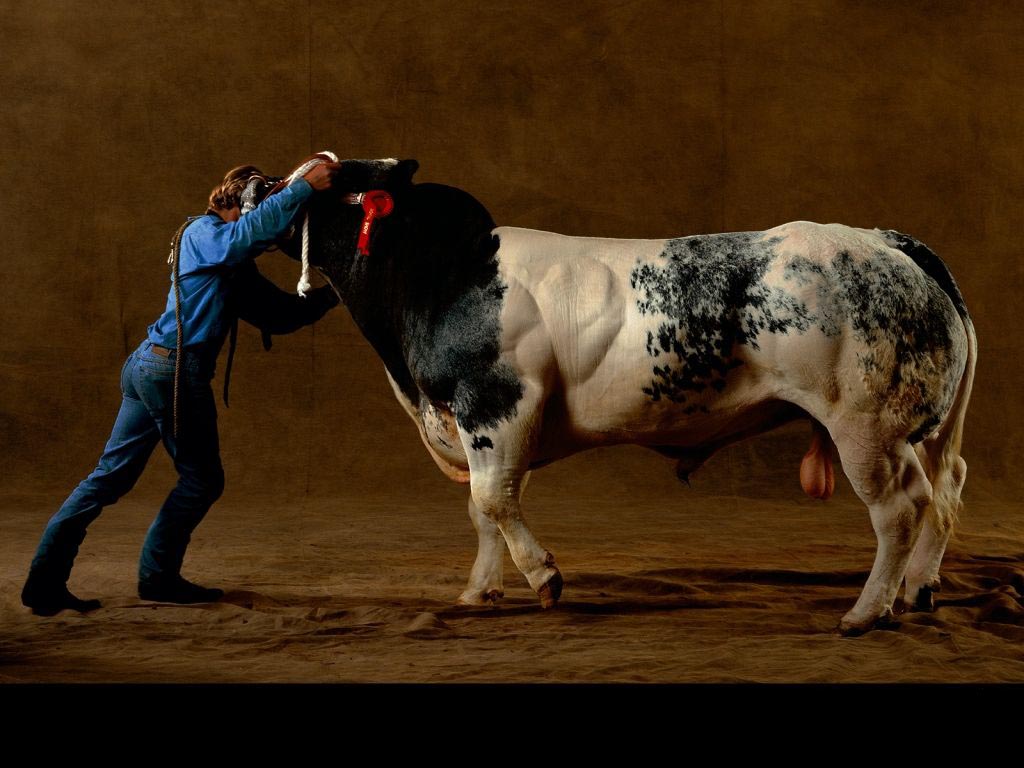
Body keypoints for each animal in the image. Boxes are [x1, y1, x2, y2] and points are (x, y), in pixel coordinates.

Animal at [276, 157, 976, 636]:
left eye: (317, 179)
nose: (255, 182)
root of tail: (882, 240)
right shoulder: (489, 425)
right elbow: (482, 509)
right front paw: (480, 592)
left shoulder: (496, 404)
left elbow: (494, 501)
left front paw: (545, 579)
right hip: (923, 429)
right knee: (945, 494)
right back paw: (917, 591)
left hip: (867, 423)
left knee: (900, 509)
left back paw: (866, 612)